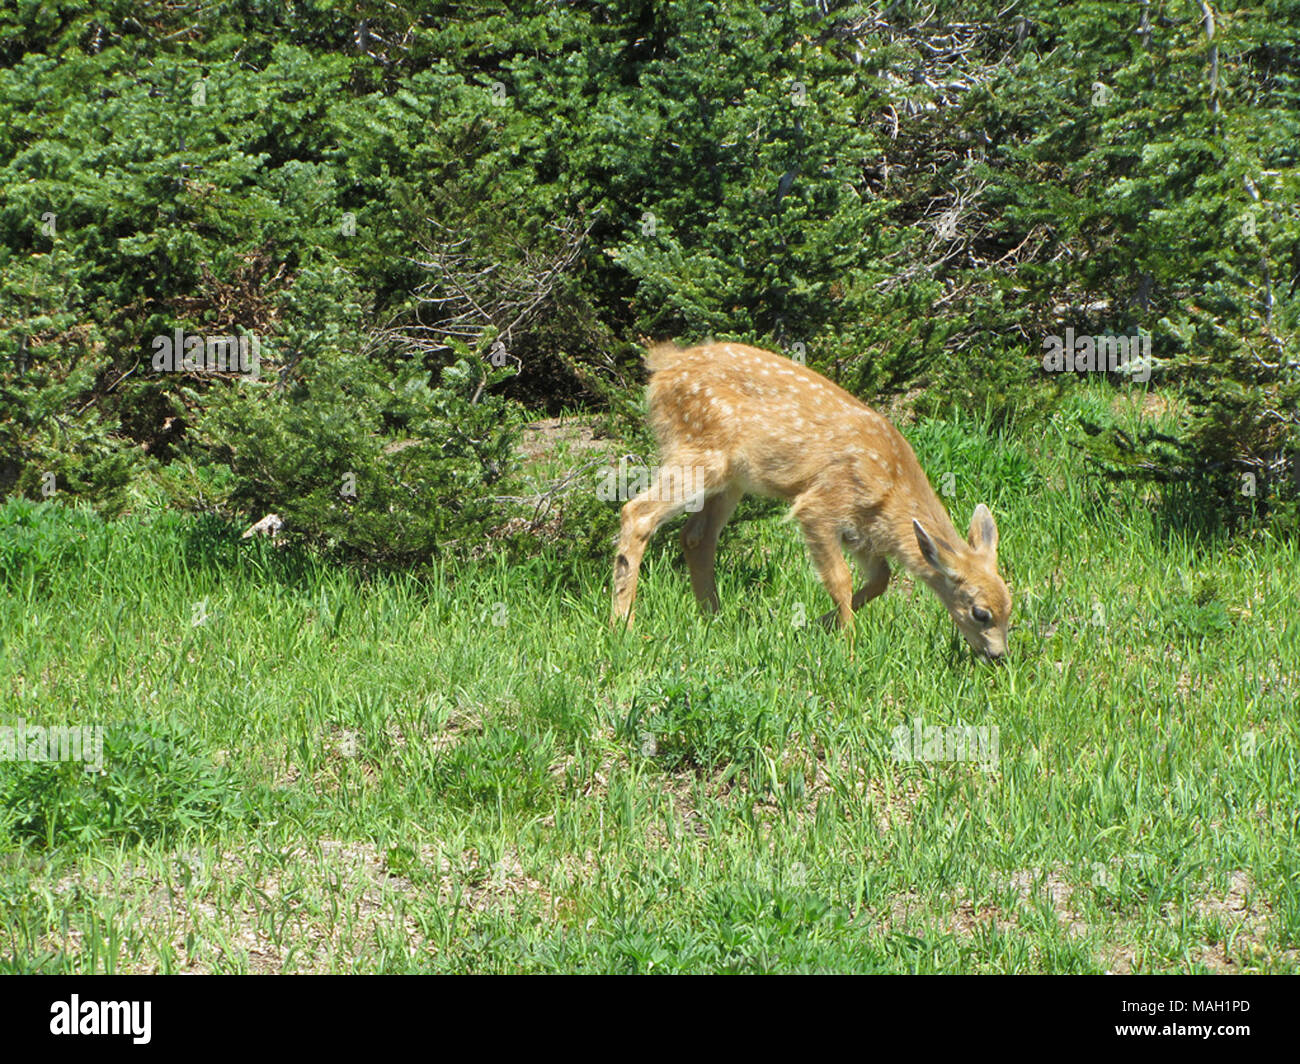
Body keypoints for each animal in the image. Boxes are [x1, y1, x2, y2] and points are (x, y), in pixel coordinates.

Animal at [610, 342, 1012, 661]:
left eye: (1010, 607)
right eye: (981, 613)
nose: (998, 656)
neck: (891, 487)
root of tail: (664, 366)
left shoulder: (862, 531)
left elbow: (880, 579)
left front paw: (815, 626)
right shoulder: (821, 504)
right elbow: (840, 580)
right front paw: (850, 647)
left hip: (730, 480)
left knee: (697, 536)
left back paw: (712, 616)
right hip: (699, 453)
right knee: (637, 512)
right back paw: (624, 626)